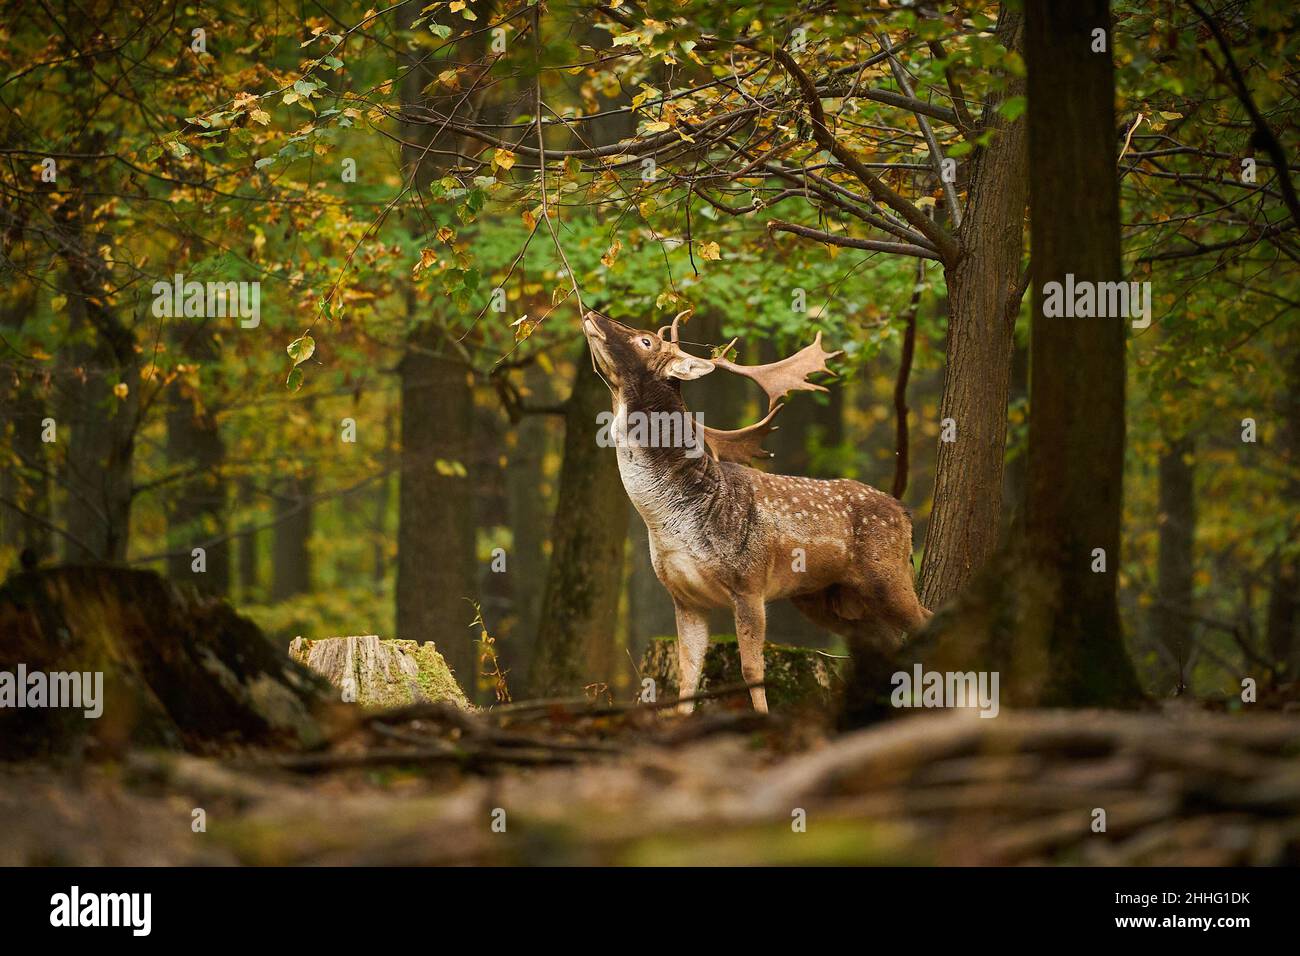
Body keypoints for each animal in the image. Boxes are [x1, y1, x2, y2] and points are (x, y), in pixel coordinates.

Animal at [582, 309, 931, 715]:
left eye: (646, 341)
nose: (592, 314)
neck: (672, 522)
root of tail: (905, 512)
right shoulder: (683, 596)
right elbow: (688, 675)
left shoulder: (749, 582)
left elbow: (752, 670)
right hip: (831, 600)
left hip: (888, 573)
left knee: (923, 620)